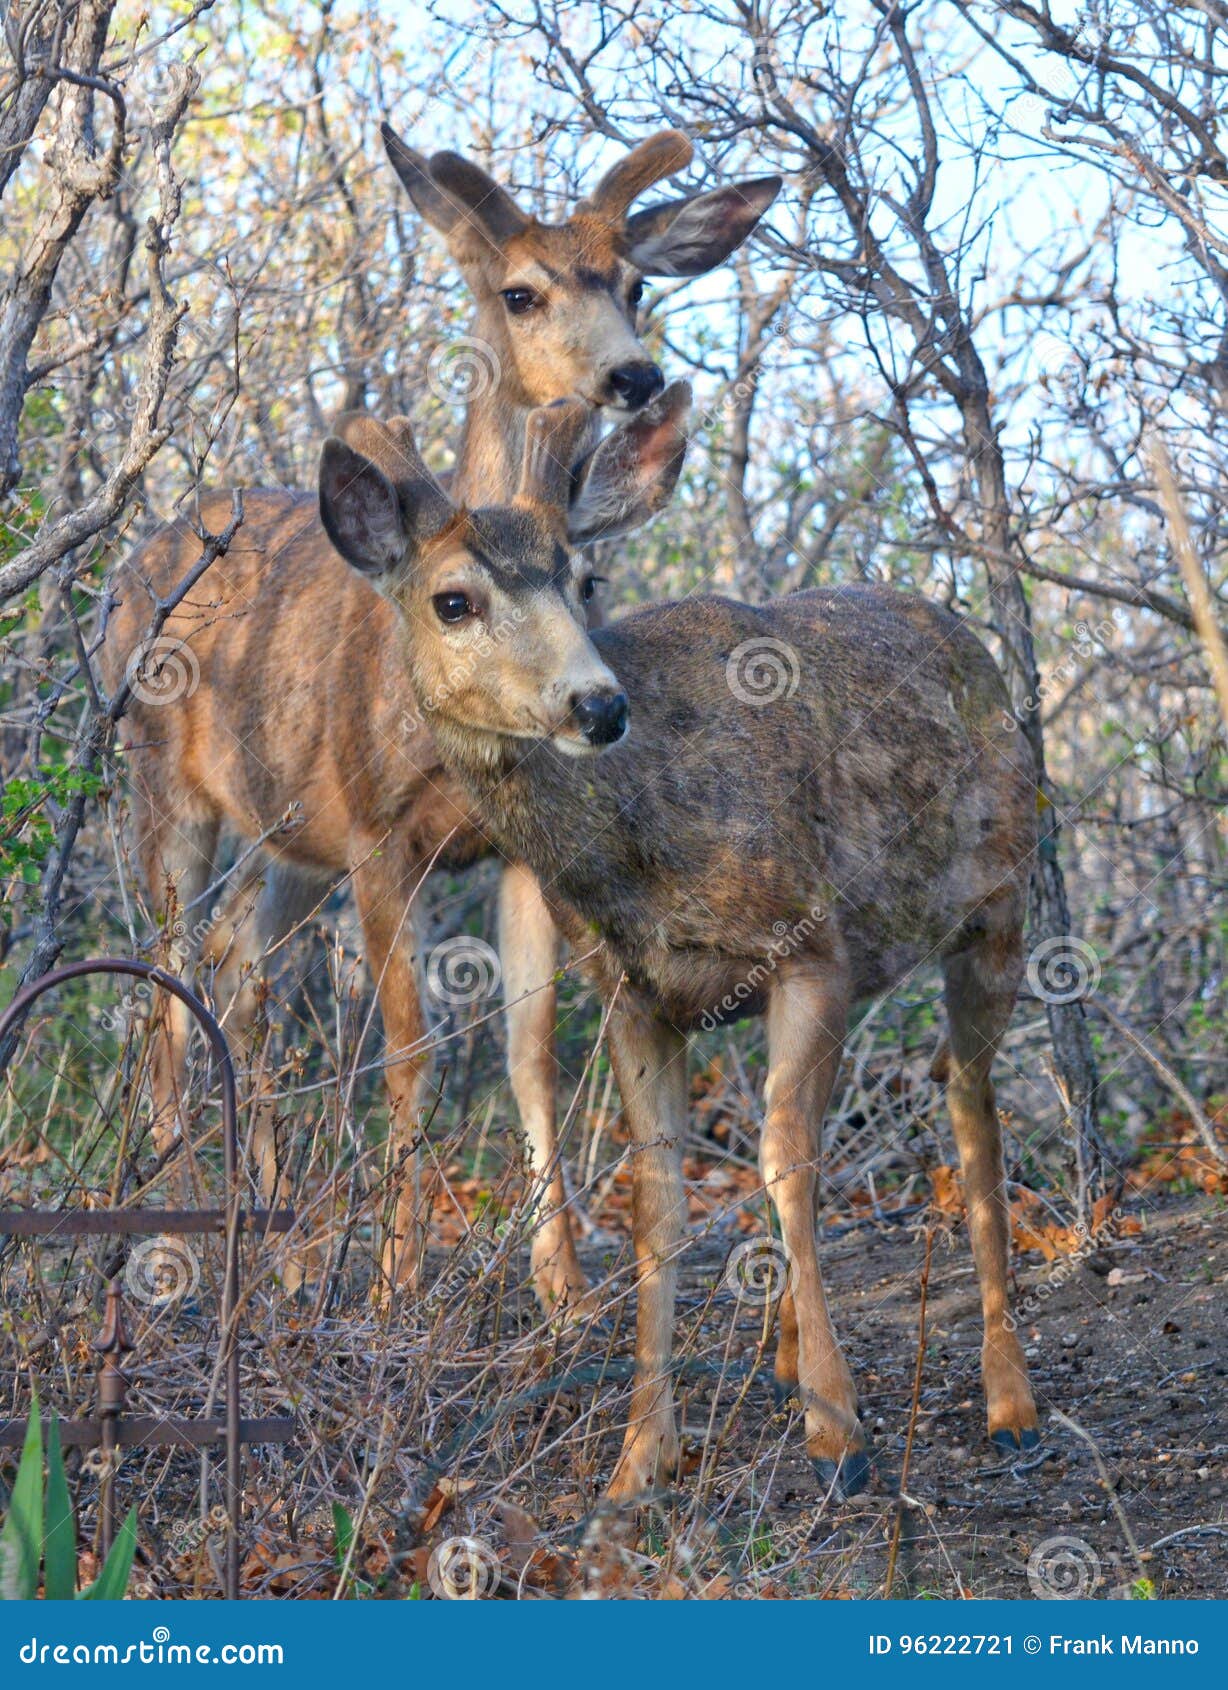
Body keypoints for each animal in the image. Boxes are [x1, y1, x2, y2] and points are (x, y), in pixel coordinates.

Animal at [103, 128, 779, 1309]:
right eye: (520, 291)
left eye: (637, 283)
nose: (632, 374)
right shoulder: (382, 835)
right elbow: (408, 1049)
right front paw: (395, 1279)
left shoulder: (513, 852)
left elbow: (529, 1048)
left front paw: (560, 1285)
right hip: (166, 790)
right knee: (169, 980)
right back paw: (178, 1230)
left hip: (290, 843)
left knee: (238, 961)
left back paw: (278, 1244)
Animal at [314, 394, 1043, 1499]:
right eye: (452, 600)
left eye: (581, 575)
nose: (597, 703)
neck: (638, 845)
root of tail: (968, 637)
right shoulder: (634, 992)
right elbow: (660, 1207)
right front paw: (639, 1459)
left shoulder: (807, 944)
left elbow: (782, 1165)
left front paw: (840, 1433)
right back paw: (785, 1354)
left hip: (998, 907)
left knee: (969, 1106)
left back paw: (1009, 1402)